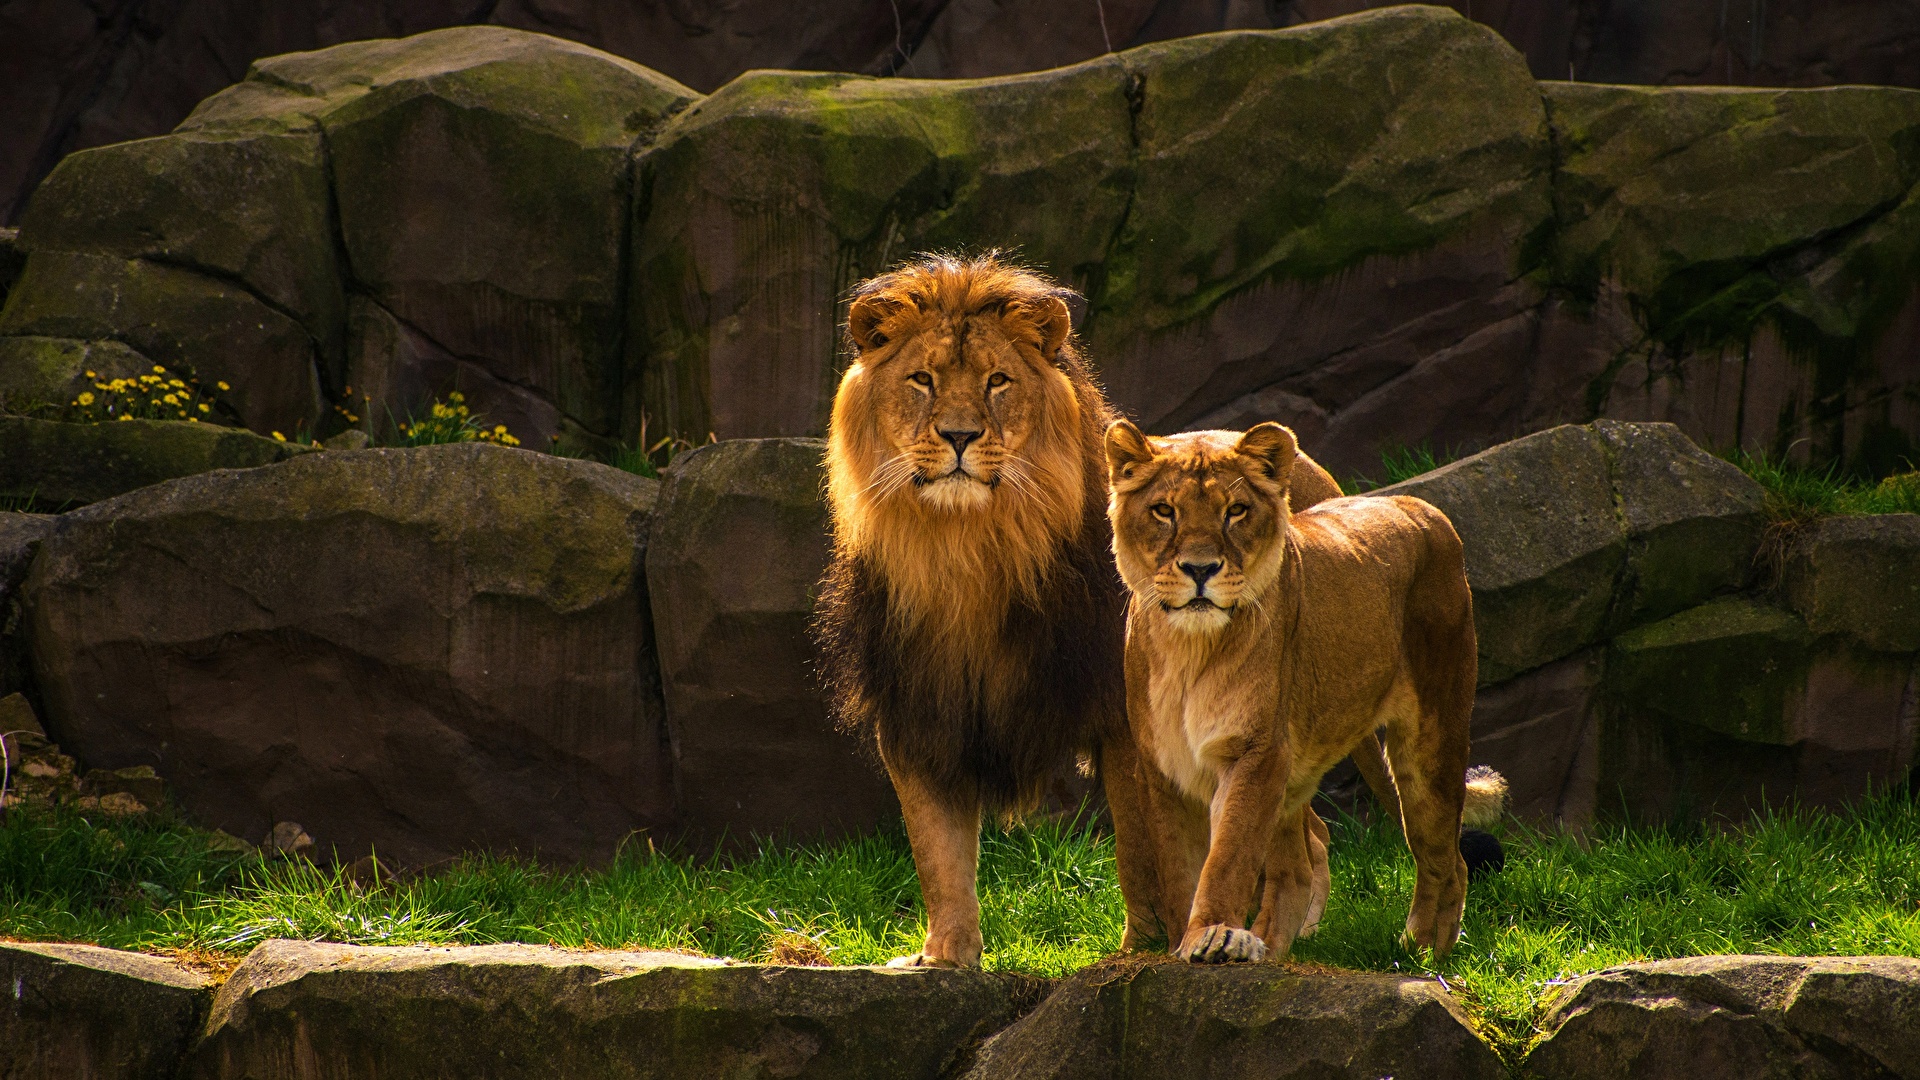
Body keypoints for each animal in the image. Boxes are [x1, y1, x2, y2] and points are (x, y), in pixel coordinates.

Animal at [812, 253, 1368, 967]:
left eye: (997, 381)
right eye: (922, 380)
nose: (960, 436)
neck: (965, 551)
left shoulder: (1125, 713)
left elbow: (1142, 849)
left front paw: (1143, 949)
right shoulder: (916, 709)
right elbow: (937, 852)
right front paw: (945, 958)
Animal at [1106, 419, 1497, 963]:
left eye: (1235, 511)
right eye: (1164, 511)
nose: (1200, 570)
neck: (1189, 649)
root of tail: (1418, 506)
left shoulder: (1256, 751)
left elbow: (1227, 858)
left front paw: (1212, 936)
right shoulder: (1166, 769)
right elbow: (1180, 871)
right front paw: (1185, 945)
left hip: (1432, 741)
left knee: (1445, 857)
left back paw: (1423, 952)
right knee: (1296, 868)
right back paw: (1272, 948)